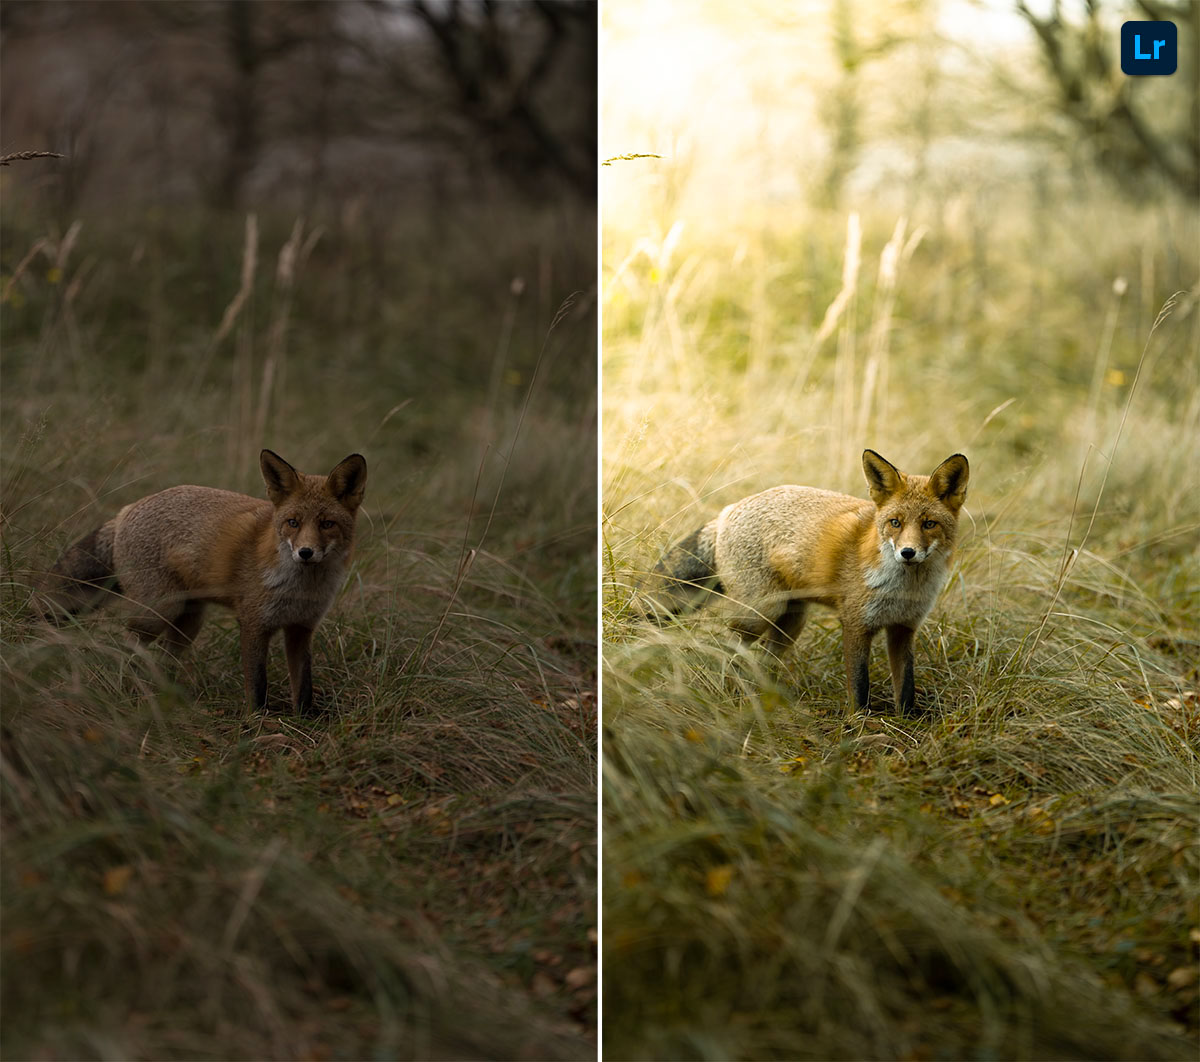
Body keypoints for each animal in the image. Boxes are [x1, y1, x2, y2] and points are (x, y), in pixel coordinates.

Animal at [41, 450, 367, 713]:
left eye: (327, 524)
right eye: (293, 523)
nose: (305, 552)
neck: (300, 589)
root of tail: (127, 510)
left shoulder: (301, 629)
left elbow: (303, 687)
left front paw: (304, 721)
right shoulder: (253, 622)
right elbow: (257, 685)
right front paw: (257, 724)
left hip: (188, 621)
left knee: (165, 658)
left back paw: (167, 696)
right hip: (159, 613)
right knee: (128, 644)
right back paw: (134, 689)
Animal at [645, 450, 969, 714]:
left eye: (929, 524)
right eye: (895, 523)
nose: (908, 553)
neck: (904, 589)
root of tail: (728, 510)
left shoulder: (904, 628)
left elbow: (906, 688)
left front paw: (905, 722)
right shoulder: (855, 623)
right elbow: (859, 687)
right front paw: (859, 727)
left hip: (791, 621)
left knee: (764, 658)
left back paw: (768, 698)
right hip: (760, 614)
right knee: (727, 646)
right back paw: (733, 690)